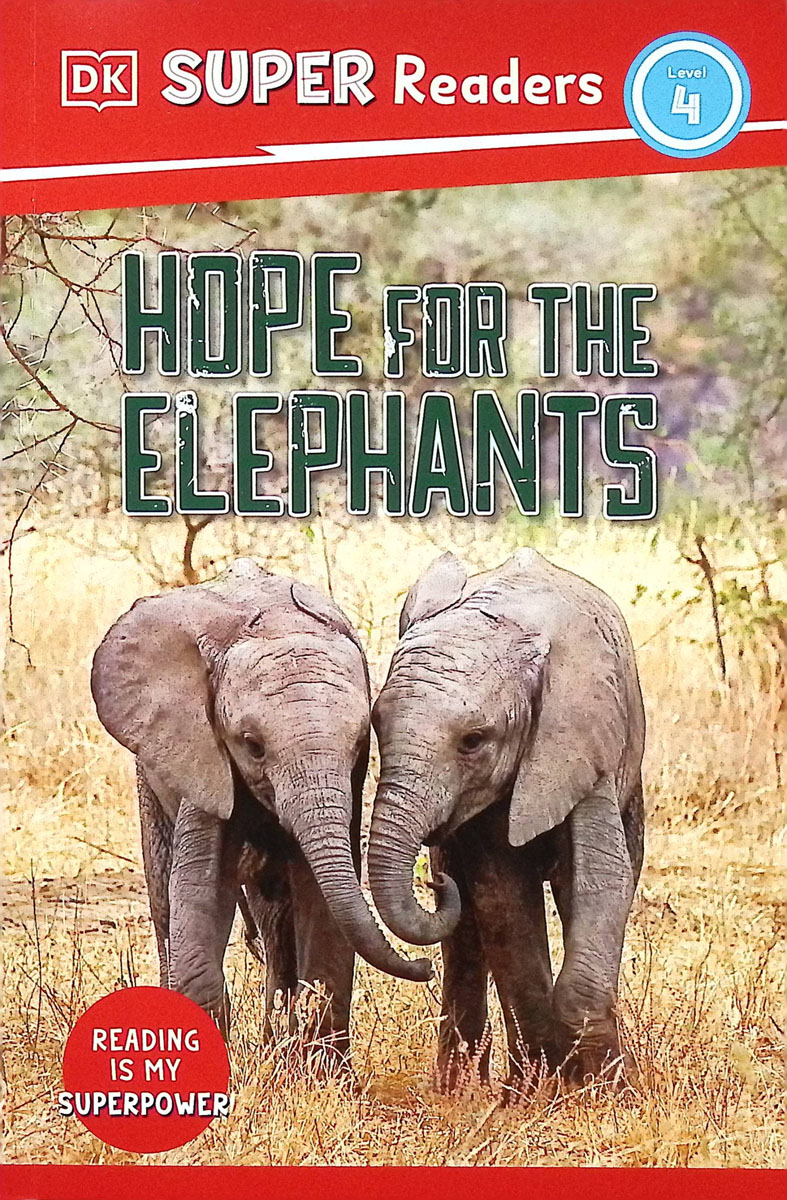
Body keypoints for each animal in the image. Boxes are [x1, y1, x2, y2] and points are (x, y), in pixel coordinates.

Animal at [91, 557, 431, 1064]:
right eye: (251, 745)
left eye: (358, 741)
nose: (427, 965)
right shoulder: (202, 750)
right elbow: (201, 887)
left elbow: (319, 895)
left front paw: (319, 1072)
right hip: (149, 774)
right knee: (165, 902)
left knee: (274, 918)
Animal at [368, 548, 645, 1091]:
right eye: (375, 722)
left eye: (473, 741)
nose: (437, 885)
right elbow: (502, 898)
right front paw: (543, 1087)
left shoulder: (582, 742)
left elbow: (602, 881)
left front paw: (603, 1090)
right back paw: (462, 1087)